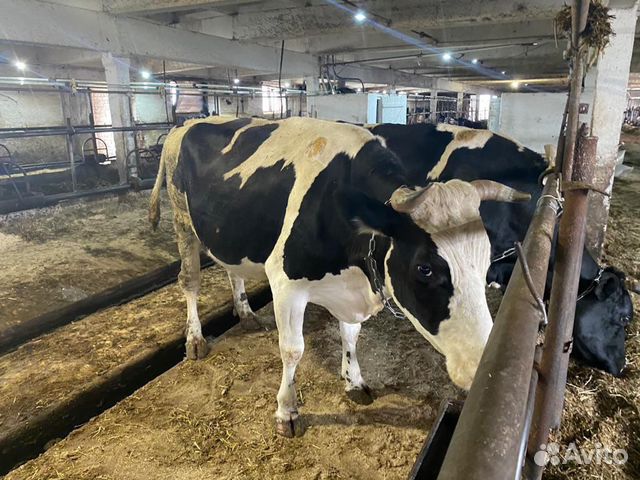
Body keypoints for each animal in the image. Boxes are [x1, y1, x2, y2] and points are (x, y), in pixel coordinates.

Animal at [149, 116, 530, 436]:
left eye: (486, 261)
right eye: (425, 268)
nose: (484, 370)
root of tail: (186, 124)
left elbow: (351, 335)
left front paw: (354, 382)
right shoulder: (285, 284)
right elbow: (292, 350)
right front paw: (286, 412)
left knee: (233, 270)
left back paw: (245, 313)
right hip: (183, 222)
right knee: (190, 281)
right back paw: (195, 339)